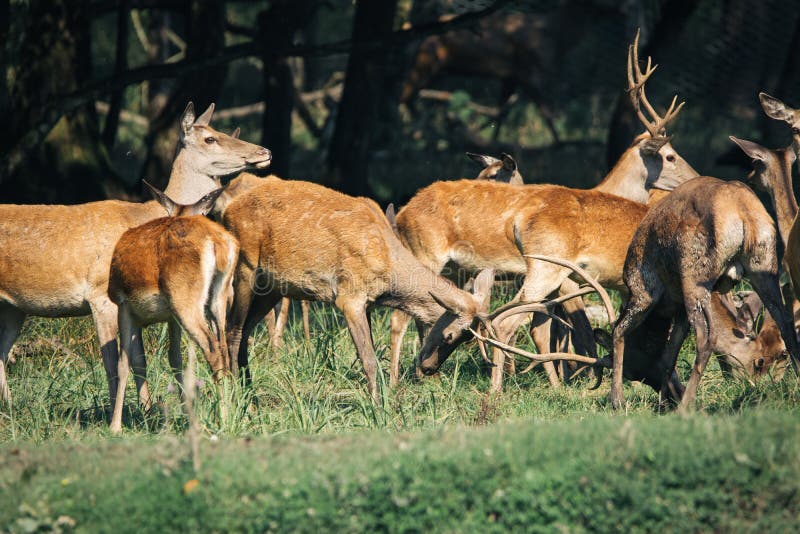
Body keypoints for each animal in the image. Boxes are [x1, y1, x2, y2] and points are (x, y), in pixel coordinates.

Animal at [108, 183, 239, 433]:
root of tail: (217, 242)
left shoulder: (122, 304)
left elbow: (124, 363)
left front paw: (115, 426)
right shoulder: (170, 317)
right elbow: (174, 358)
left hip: (185, 299)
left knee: (213, 351)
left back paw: (221, 421)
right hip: (219, 298)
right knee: (225, 351)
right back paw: (228, 415)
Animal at [395, 31, 699, 391]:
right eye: (670, 155)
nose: (696, 177)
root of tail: (400, 213)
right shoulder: (582, 281)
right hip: (489, 263)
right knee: (416, 315)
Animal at [609, 176, 800, 411]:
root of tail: (743, 212)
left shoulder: (642, 290)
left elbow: (619, 331)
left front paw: (618, 400)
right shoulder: (679, 308)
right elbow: (669, 354)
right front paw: (663, 402)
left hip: (694, 278)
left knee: (707, 337)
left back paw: (685, 404)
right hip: (763, 268)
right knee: (786, 324)